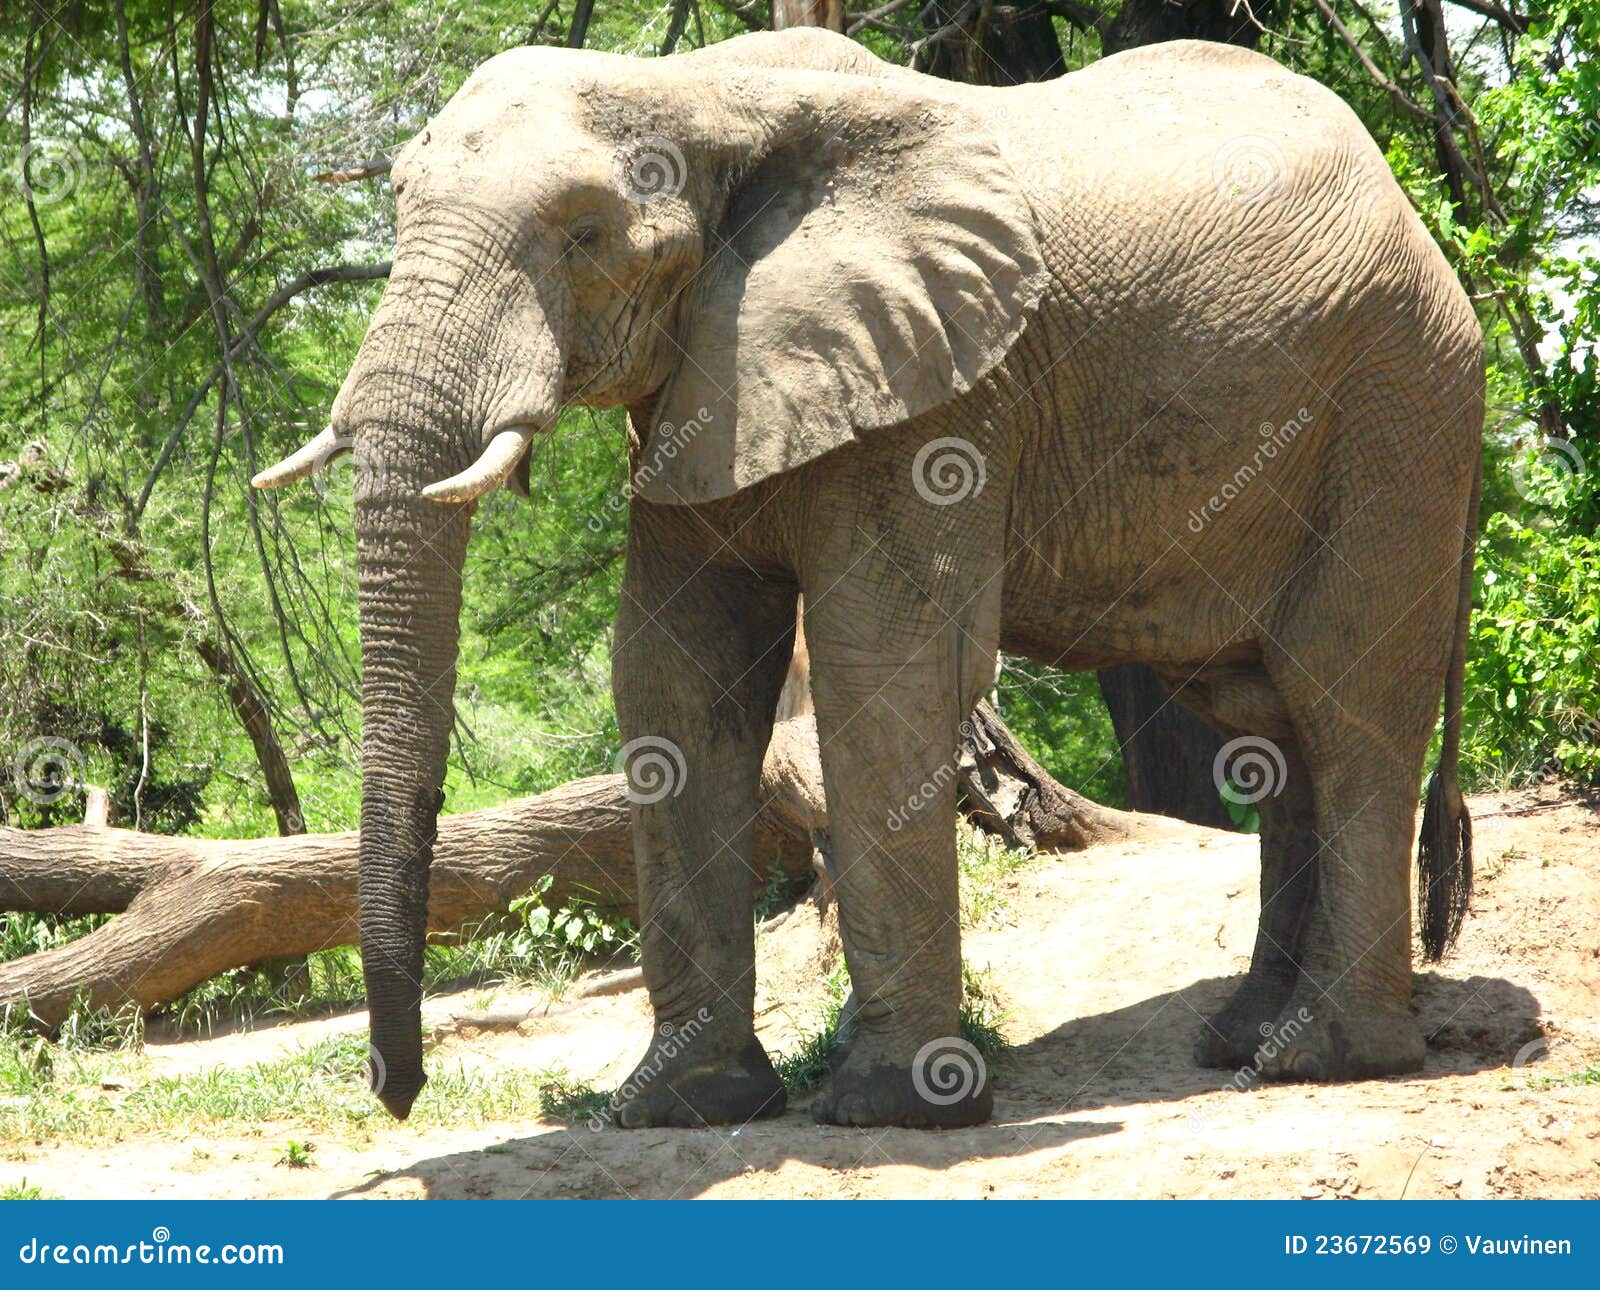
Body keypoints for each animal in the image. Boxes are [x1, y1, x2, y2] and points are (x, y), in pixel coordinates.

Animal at [253, 29, 1482, 1129]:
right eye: (396, 202)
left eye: (587, 233)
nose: (398, 1093)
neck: (700, 91)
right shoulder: (707, 381)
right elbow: (674, 678)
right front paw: (678, 1109)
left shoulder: (938, 393)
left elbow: (879, 668)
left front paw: (892, 1106)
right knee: (1264, 724)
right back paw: (1241, 1040)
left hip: (1397, 410)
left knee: (1346, 700)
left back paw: (1326, 1061)